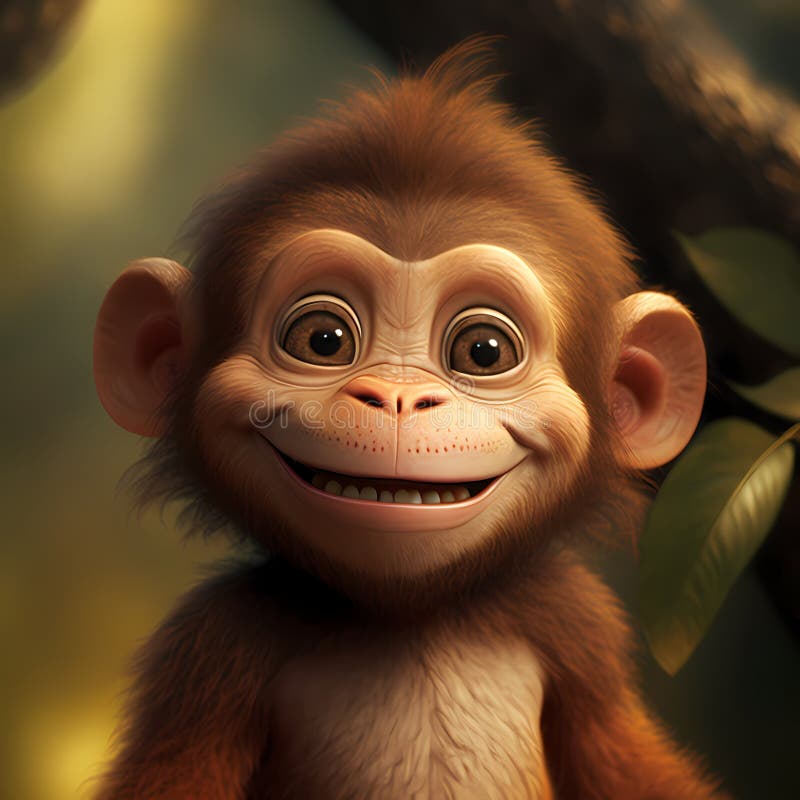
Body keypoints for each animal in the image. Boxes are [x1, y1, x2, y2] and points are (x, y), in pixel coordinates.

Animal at [91, 40, 725, 800]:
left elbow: (621, 755)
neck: (410, 622)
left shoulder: (579, 627)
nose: (397, 399)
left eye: (483, 351)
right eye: (323, 340)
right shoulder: (211, 653)